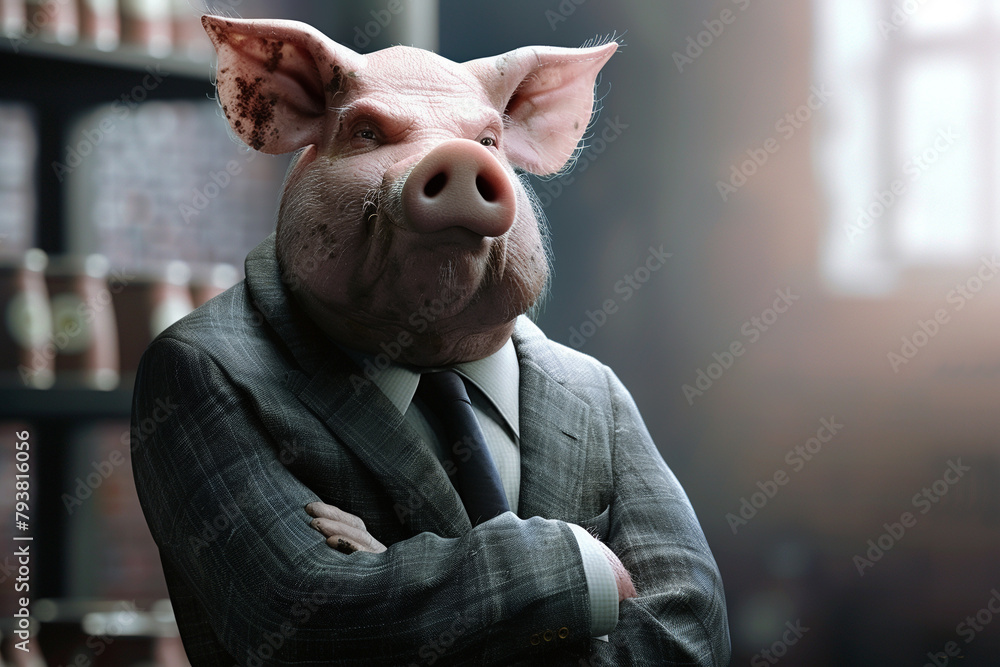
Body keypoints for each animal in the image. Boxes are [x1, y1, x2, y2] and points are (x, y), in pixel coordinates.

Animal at [130, 14, 730, 667]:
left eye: (489, 140)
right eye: (365, 132)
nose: (461, 156)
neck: (431, 360)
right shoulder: (183, 386)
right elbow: (307, 584)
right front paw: (336, 529)